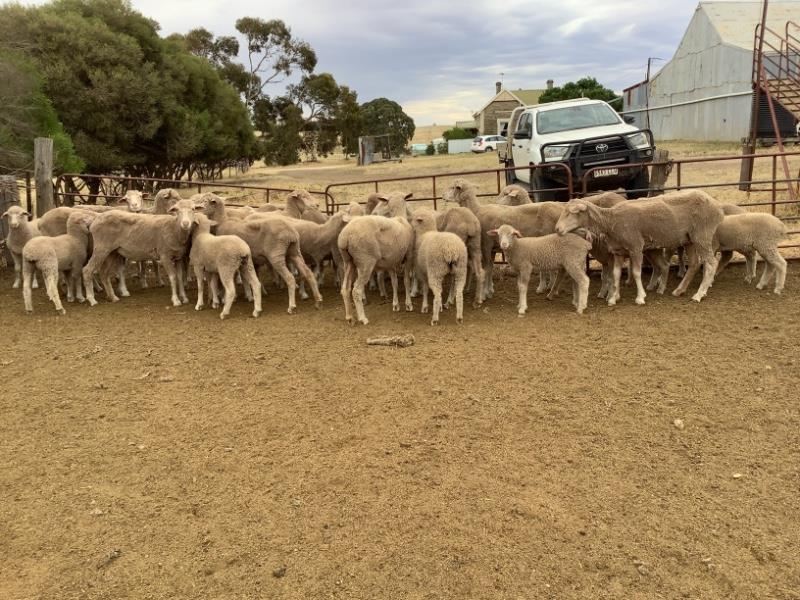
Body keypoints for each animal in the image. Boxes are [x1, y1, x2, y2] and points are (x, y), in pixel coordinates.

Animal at [337, 191, 414, 325]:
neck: (400, 218)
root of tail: (345, 236)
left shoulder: (391, 262)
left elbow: (394, 282)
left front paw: (395, 304)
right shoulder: (408, 256)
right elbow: (406, 281)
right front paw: (408, 304)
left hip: (349, 261)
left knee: (345, 289)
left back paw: (349, 317)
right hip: (365, 262)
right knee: (356, 290)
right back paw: (363, 318)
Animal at [555, 190, 723, 305]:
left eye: (570, 213)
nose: (557, 229)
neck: (611, 221)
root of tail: (717, 206)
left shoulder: (635, 247)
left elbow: (636, 273)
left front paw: (640, 297)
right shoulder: (618, 252)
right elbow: (616, 274)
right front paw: (613, 298)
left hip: (702, 235)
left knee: (711, 263)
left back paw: (699, 294)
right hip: (689, 240)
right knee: (695, 264)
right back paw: (679, 290)